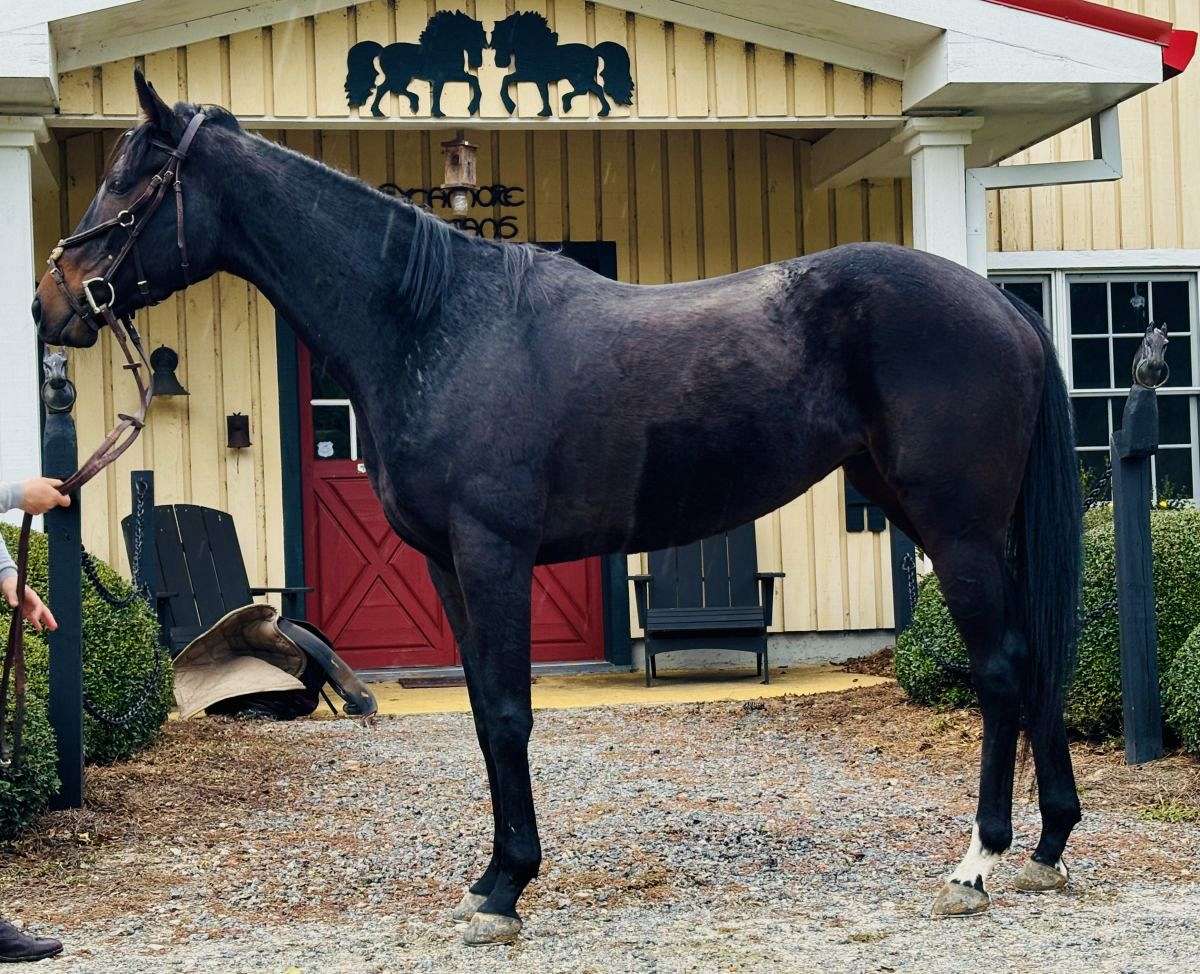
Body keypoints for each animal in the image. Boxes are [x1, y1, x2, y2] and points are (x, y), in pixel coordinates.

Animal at [35, 72, 1083, 946]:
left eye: (129, 183)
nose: (52, 303)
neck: (434, 324)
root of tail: (1005, 309)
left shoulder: (493, 553)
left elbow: (508, 712)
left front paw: (505, 890)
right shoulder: (448, 565)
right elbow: (482, 714)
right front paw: (490, 876)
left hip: (958, 529)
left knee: (1001, 668)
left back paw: (979, 863)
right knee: (1031, 662)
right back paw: (1047, 848)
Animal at [345, 10, 485, 118]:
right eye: (474, 37)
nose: (477, 63)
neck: (443, 50)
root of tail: (382, 50)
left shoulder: (454, 75)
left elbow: (474, 79)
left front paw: (471, 108)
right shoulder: (441, 78)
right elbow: (438, 94)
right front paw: (439, 113)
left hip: (401, 77)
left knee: (389, 89)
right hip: (399, 76)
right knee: (388, 89)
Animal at [489, 11, 633, 117]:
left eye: (500, 35)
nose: (499, 62)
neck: (533, 49)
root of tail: (593, 51)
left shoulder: (528, 74)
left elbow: (506, 79)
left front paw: (510, 106)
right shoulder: (539, 80)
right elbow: (544, 95)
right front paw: (545, 112)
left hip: (579, 77)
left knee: (590, 89)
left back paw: (570, 104)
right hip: (576, 78)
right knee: (591, 89)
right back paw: (597, 110)